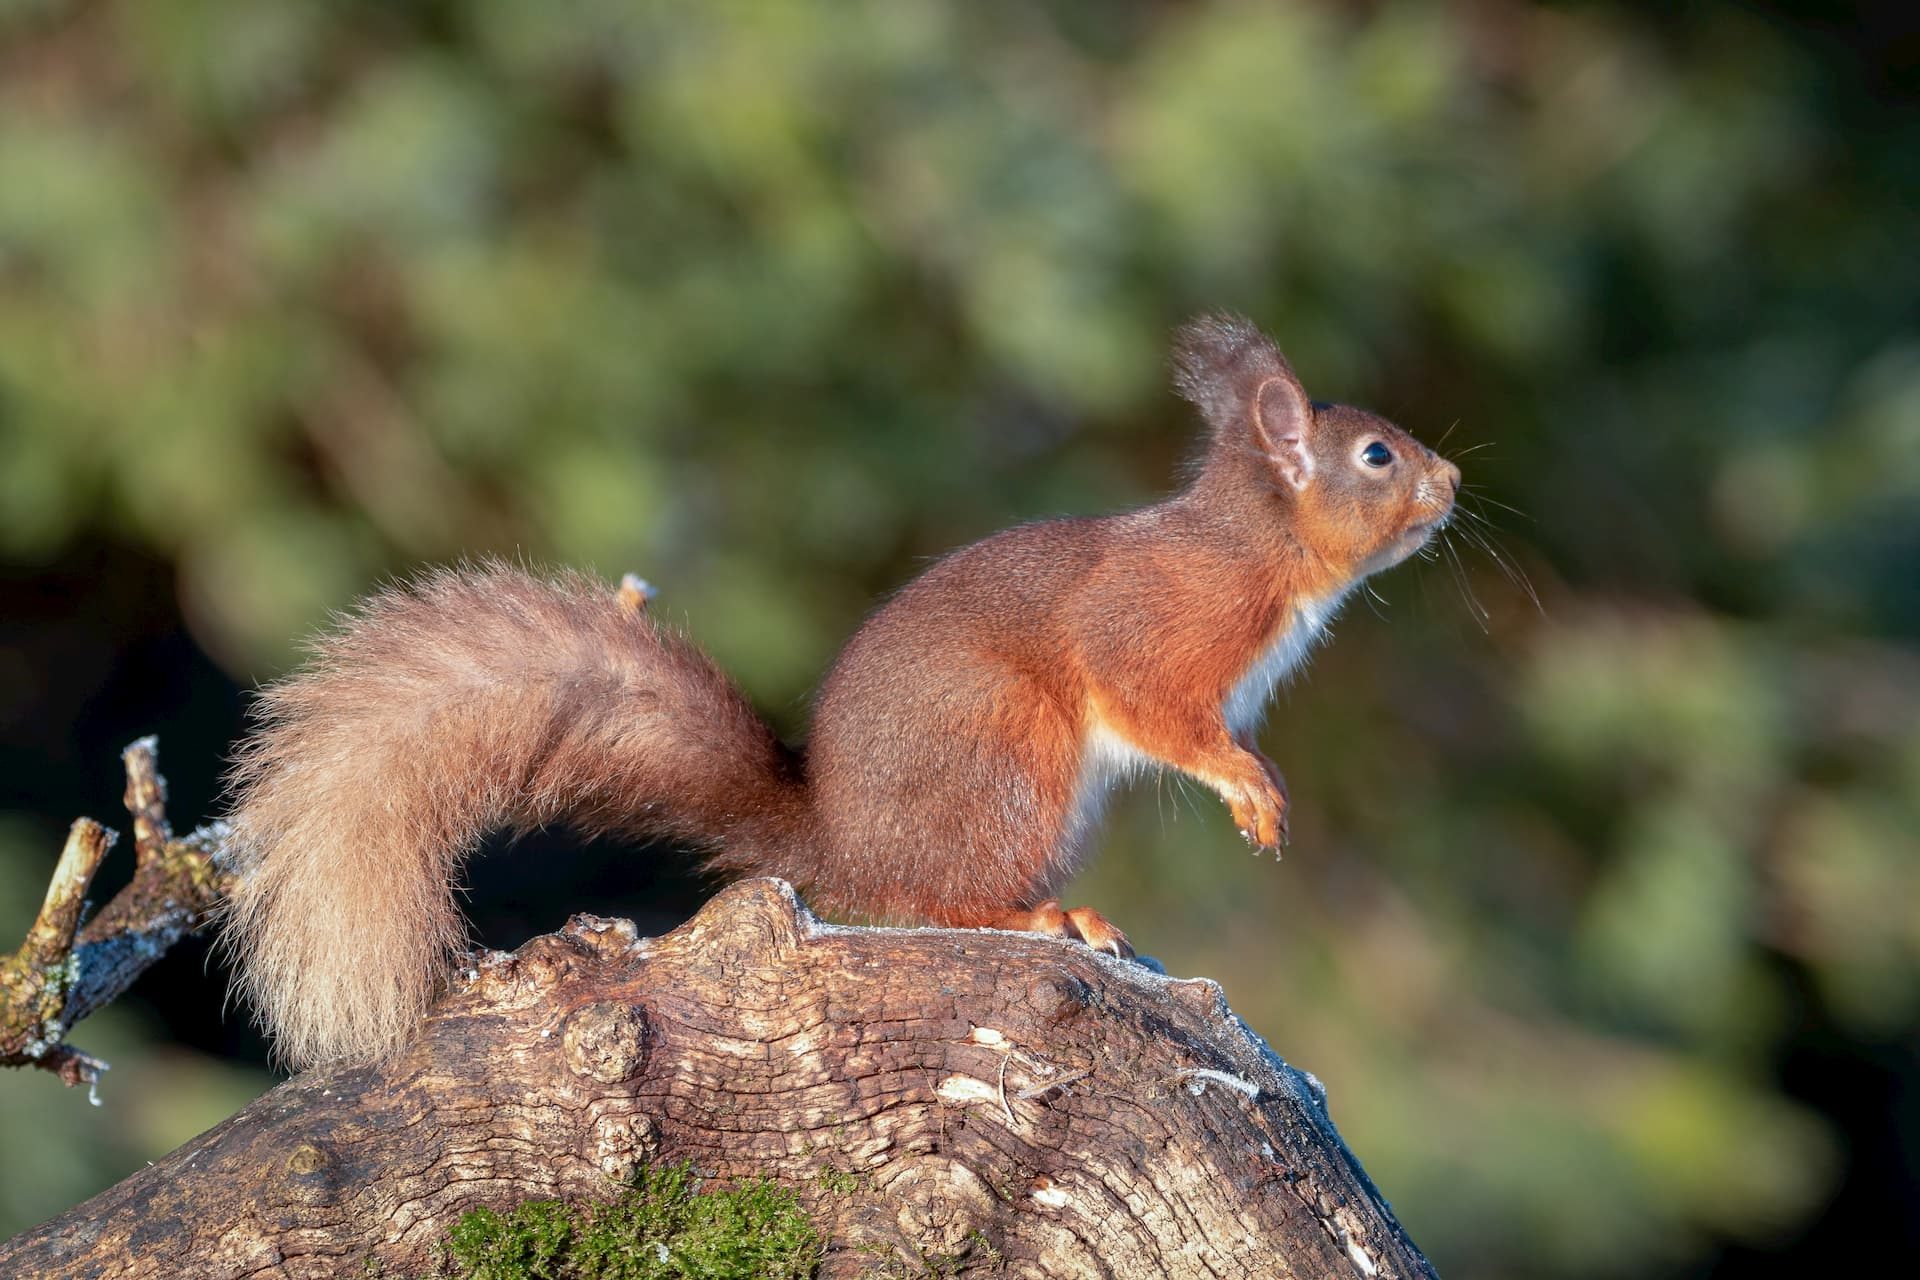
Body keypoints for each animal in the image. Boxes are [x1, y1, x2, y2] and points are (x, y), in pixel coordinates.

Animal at [219, 314, 1461, 1070]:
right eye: (1377, 457)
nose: (1452, 479)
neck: (1262, 552)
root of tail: (841, 843)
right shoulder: (1159, 630)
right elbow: (1162, 708)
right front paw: (1251, 788)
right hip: (1010, 752)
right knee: (935, 901)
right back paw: (1044, 916)